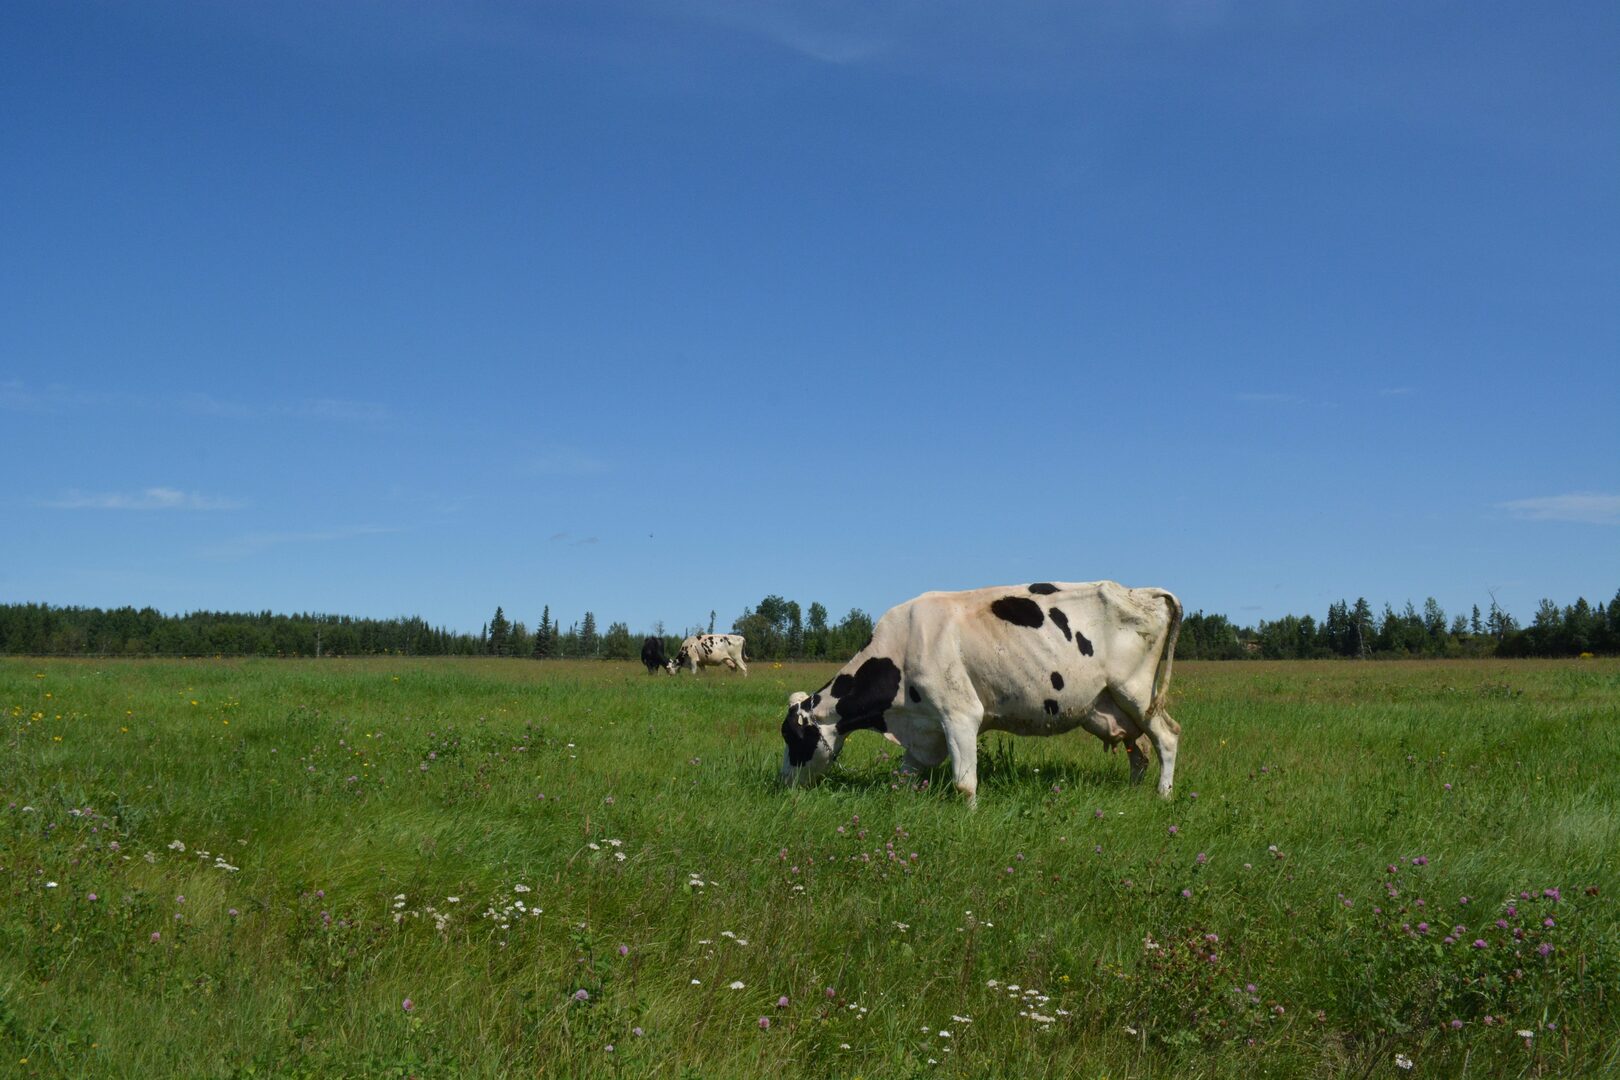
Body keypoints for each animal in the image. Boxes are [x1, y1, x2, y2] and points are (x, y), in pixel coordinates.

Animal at [777, 582, 1185, 803]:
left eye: (792, 737)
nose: (783, 782)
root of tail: (1140, 591)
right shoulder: (924, 729)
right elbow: (904, 776)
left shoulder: (959, 715)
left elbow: (964, 784)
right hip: (1112, 705)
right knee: (1139, 750)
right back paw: (1132, 792)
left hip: (1135, 693)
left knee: (1167, 737)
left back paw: (1163, 794)